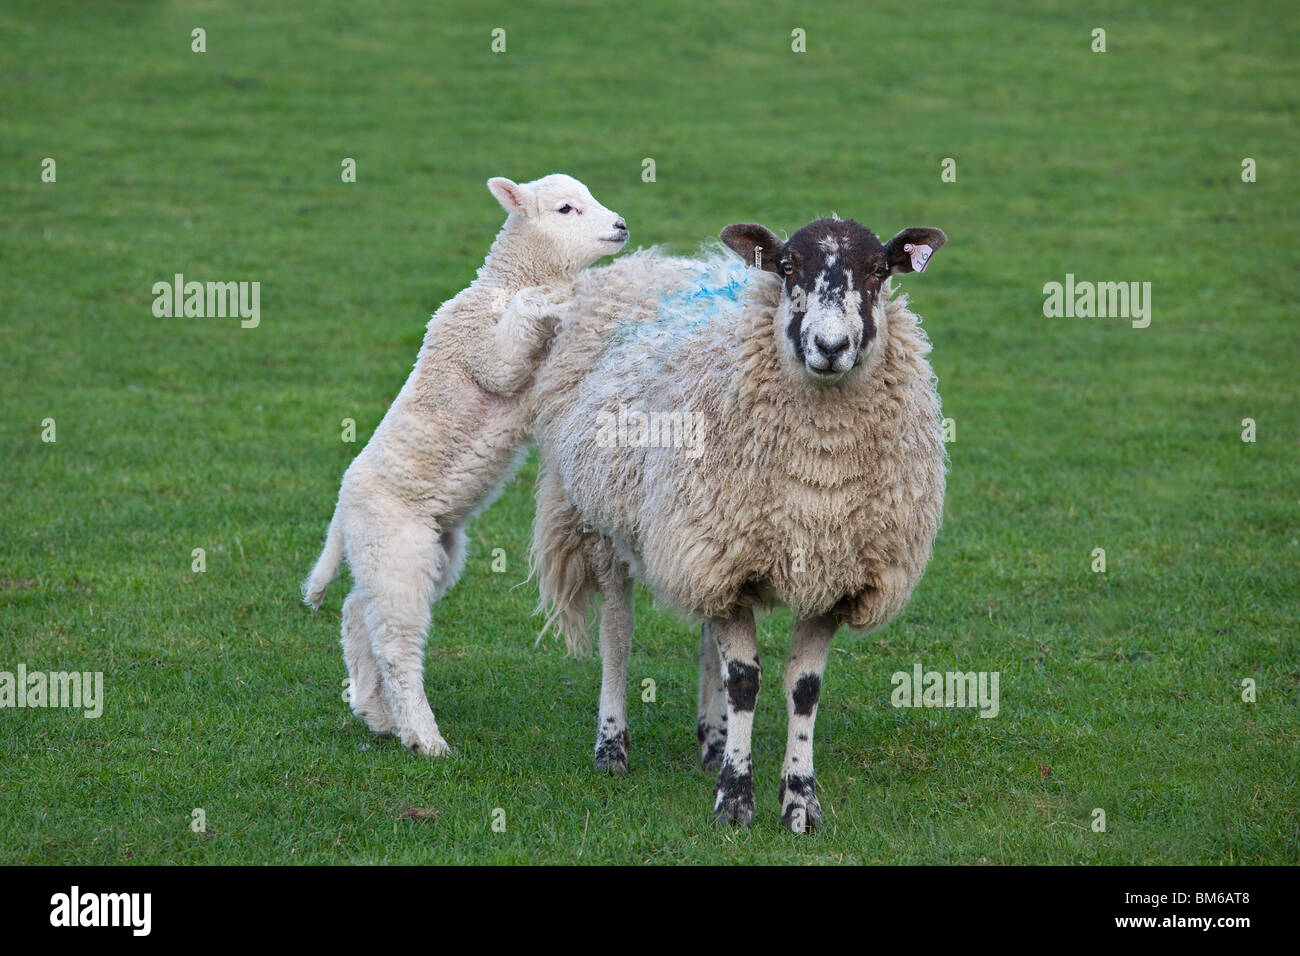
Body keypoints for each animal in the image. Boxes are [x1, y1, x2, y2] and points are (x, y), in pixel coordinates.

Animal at [303, 173, 628, 756]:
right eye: (566, 209)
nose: (620, 226)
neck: (502, 284)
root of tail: (341, 506)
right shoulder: (482, 350)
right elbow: (515, 337)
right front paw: (559, 297)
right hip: (396, 547)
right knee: (395, 641)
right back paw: (423, 737)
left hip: (428, 552)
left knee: (358, 613)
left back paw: (377, 714)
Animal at [529, 216, 947, 829]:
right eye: (788, 267)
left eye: (878, 271)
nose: (831, 347)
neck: (820, 475)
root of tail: (662, 262)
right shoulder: (718, 557)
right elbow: (746, 679)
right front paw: (734, 799)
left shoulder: (829, 573)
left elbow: (803, 688)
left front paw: (799, 801)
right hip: (604, 520)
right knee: (618, 636)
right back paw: (612, 746)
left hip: (705, 542)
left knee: (709, 641)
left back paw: (712, 738)